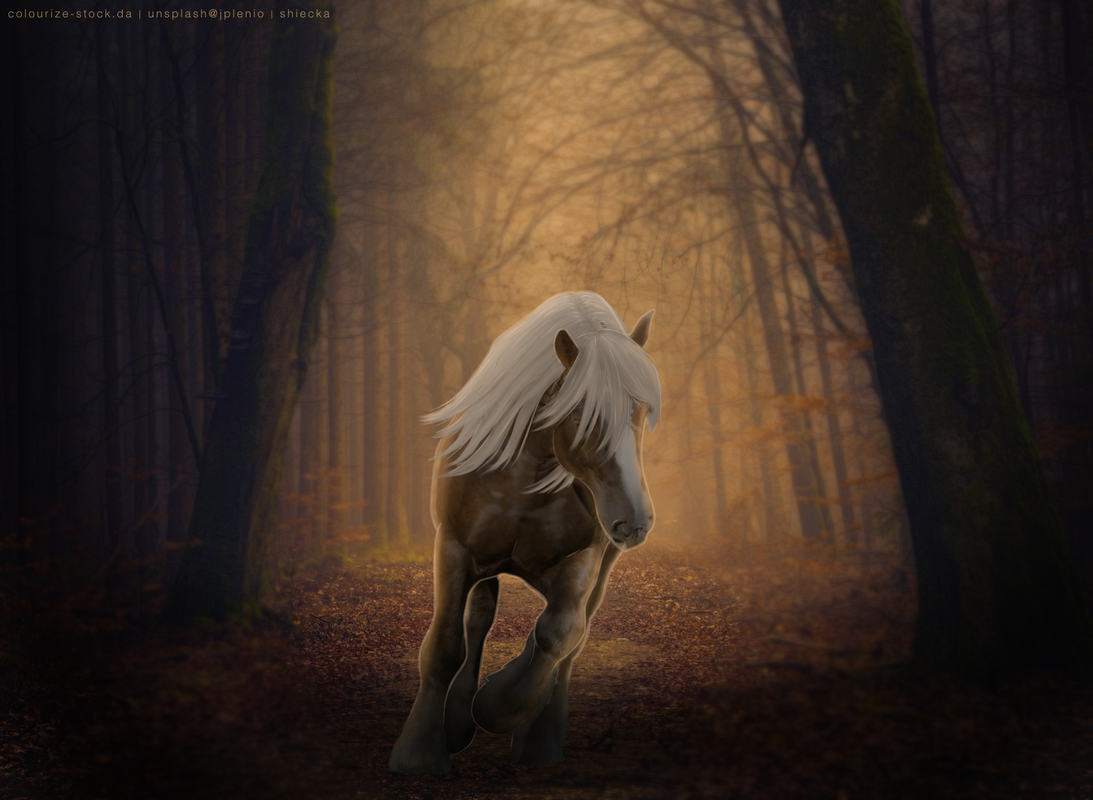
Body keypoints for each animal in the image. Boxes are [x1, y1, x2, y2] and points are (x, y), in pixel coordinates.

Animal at [388, 291, 661, 775]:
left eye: (642, 410)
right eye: (581, 413)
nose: (635, 520)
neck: (525, 475)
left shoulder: (585, 558)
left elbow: (560, 631)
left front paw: (499, 705)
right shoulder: (453, 548)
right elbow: (444, 645)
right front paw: (419, 749)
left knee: (573, 636)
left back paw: (540, 737)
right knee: (479, 617)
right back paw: (457, 720)